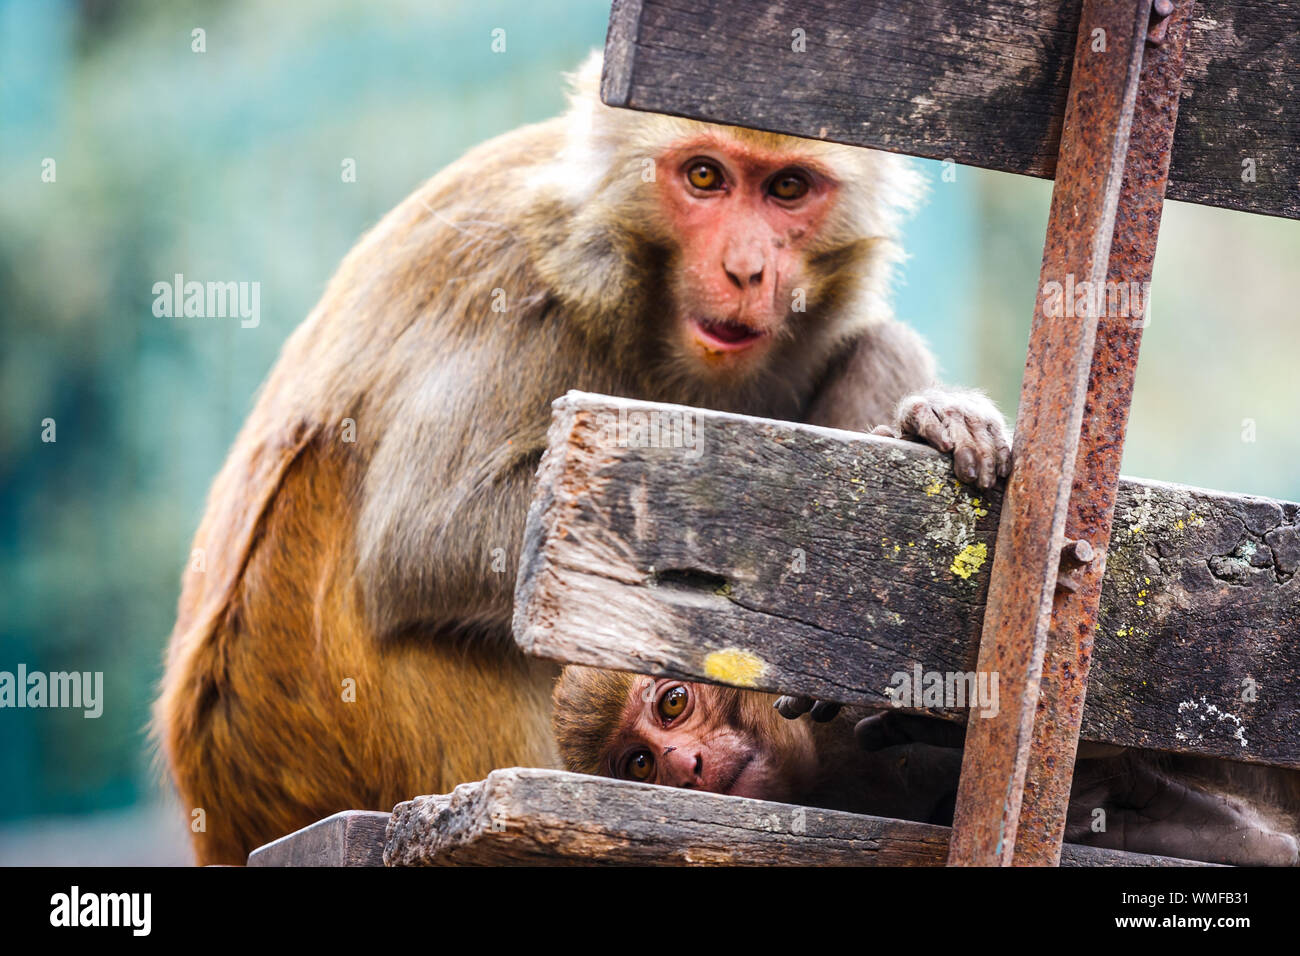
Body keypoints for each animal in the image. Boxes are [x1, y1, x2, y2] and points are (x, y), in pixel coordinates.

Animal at [153, 51, 1012, 865]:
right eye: (704, 176)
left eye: (789, 188)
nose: (745, 270)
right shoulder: (517, 281)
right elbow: (424, 538)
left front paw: (930, 423)